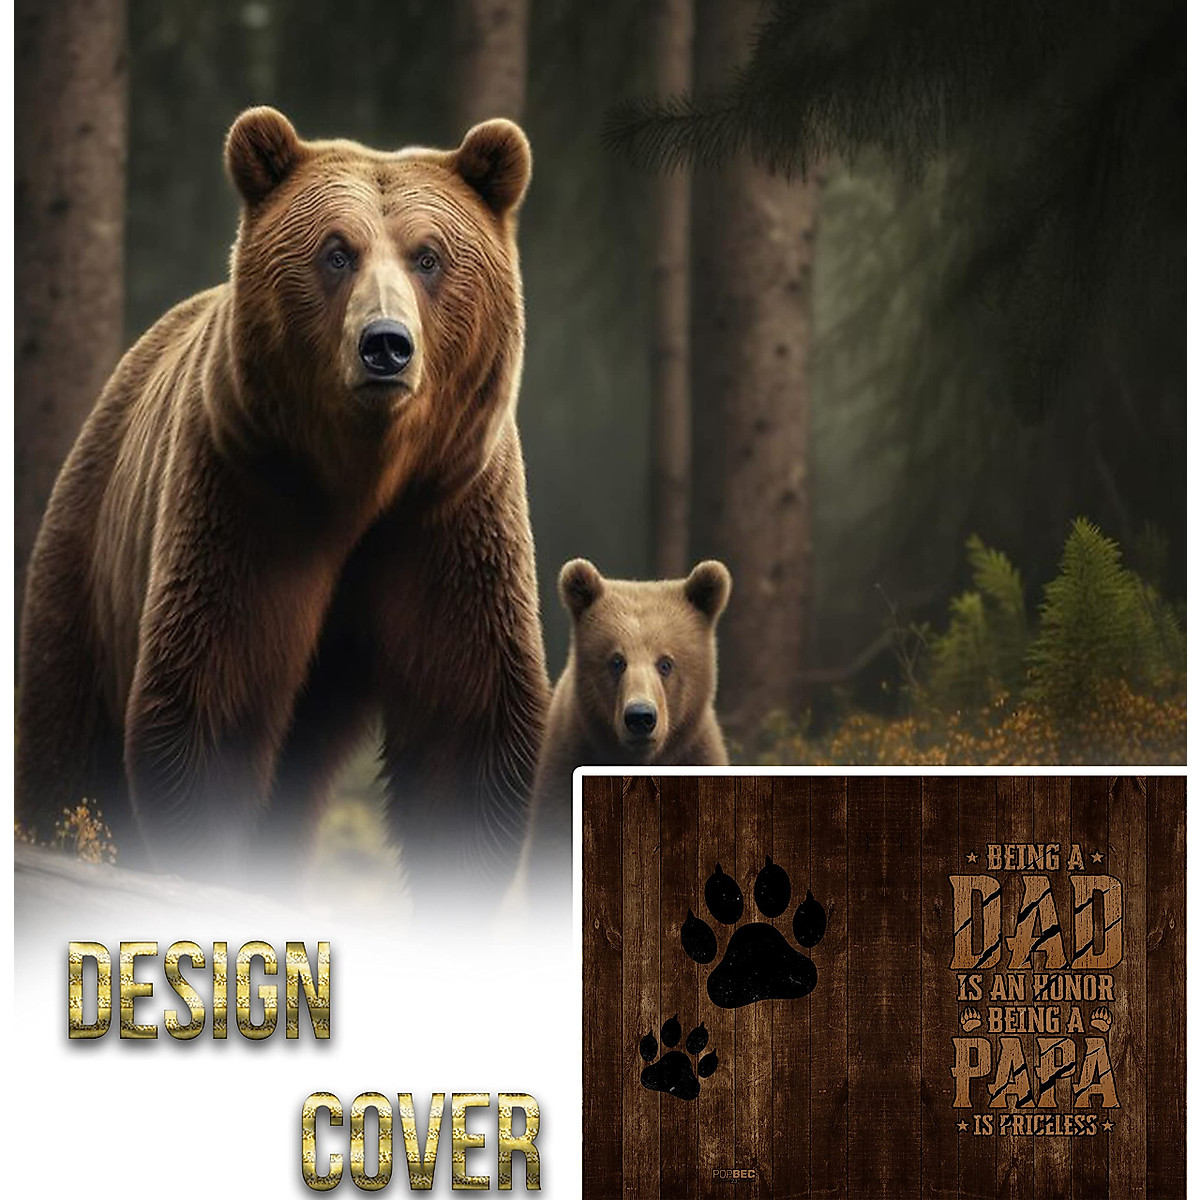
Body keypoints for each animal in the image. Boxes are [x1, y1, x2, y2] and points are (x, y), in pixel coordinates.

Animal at [16, 106, 551, 893]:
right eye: (336, 251)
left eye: (428, 257)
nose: (385, 345)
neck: (364, 478)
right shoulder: (250, 500)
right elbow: (213, 696)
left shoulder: (447, 514)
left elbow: (466, 718)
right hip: (88, 560)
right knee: (66, 730)